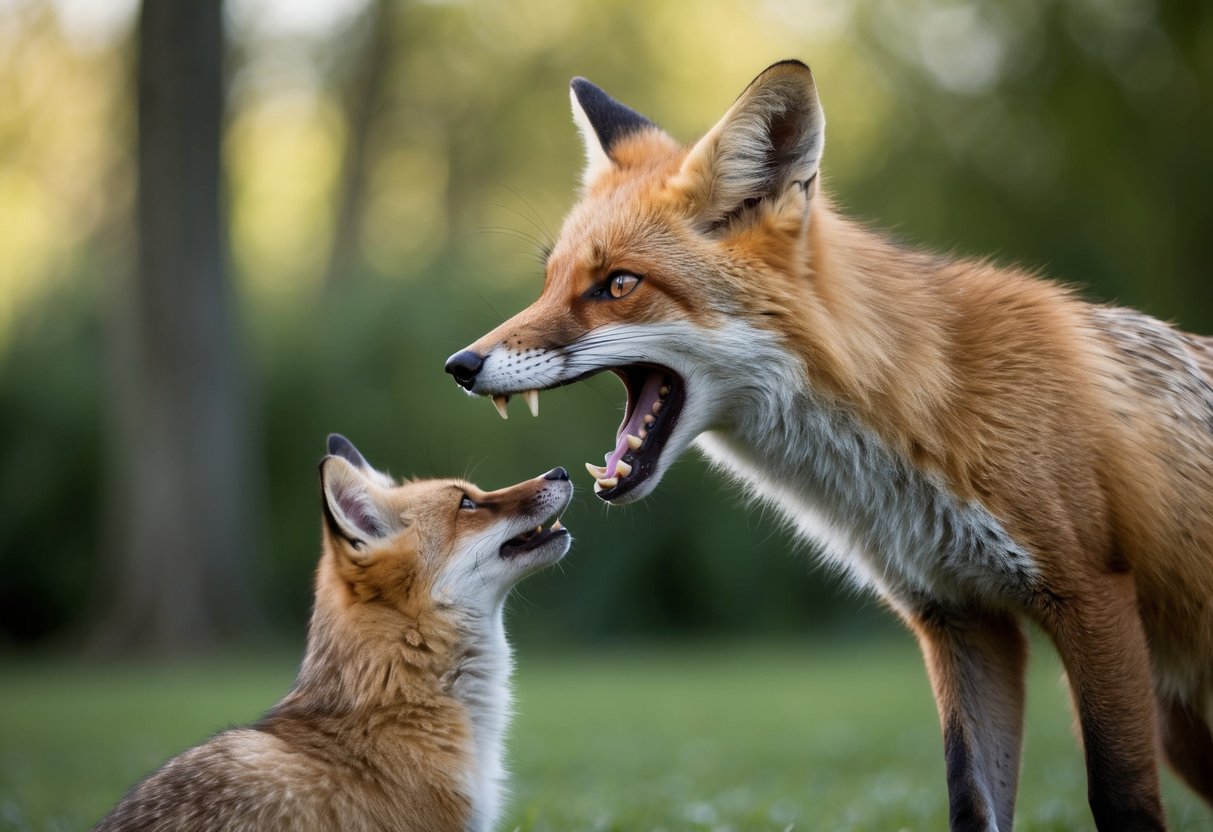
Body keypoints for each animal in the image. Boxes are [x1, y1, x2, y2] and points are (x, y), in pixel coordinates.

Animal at [444, 61, 1213, 831]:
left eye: (618, 284)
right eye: (549, 282)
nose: (460, 365)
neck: (921, 406)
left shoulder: (1090, 593)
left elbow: (1119, 797)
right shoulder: (960, 618)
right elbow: (971, 803)